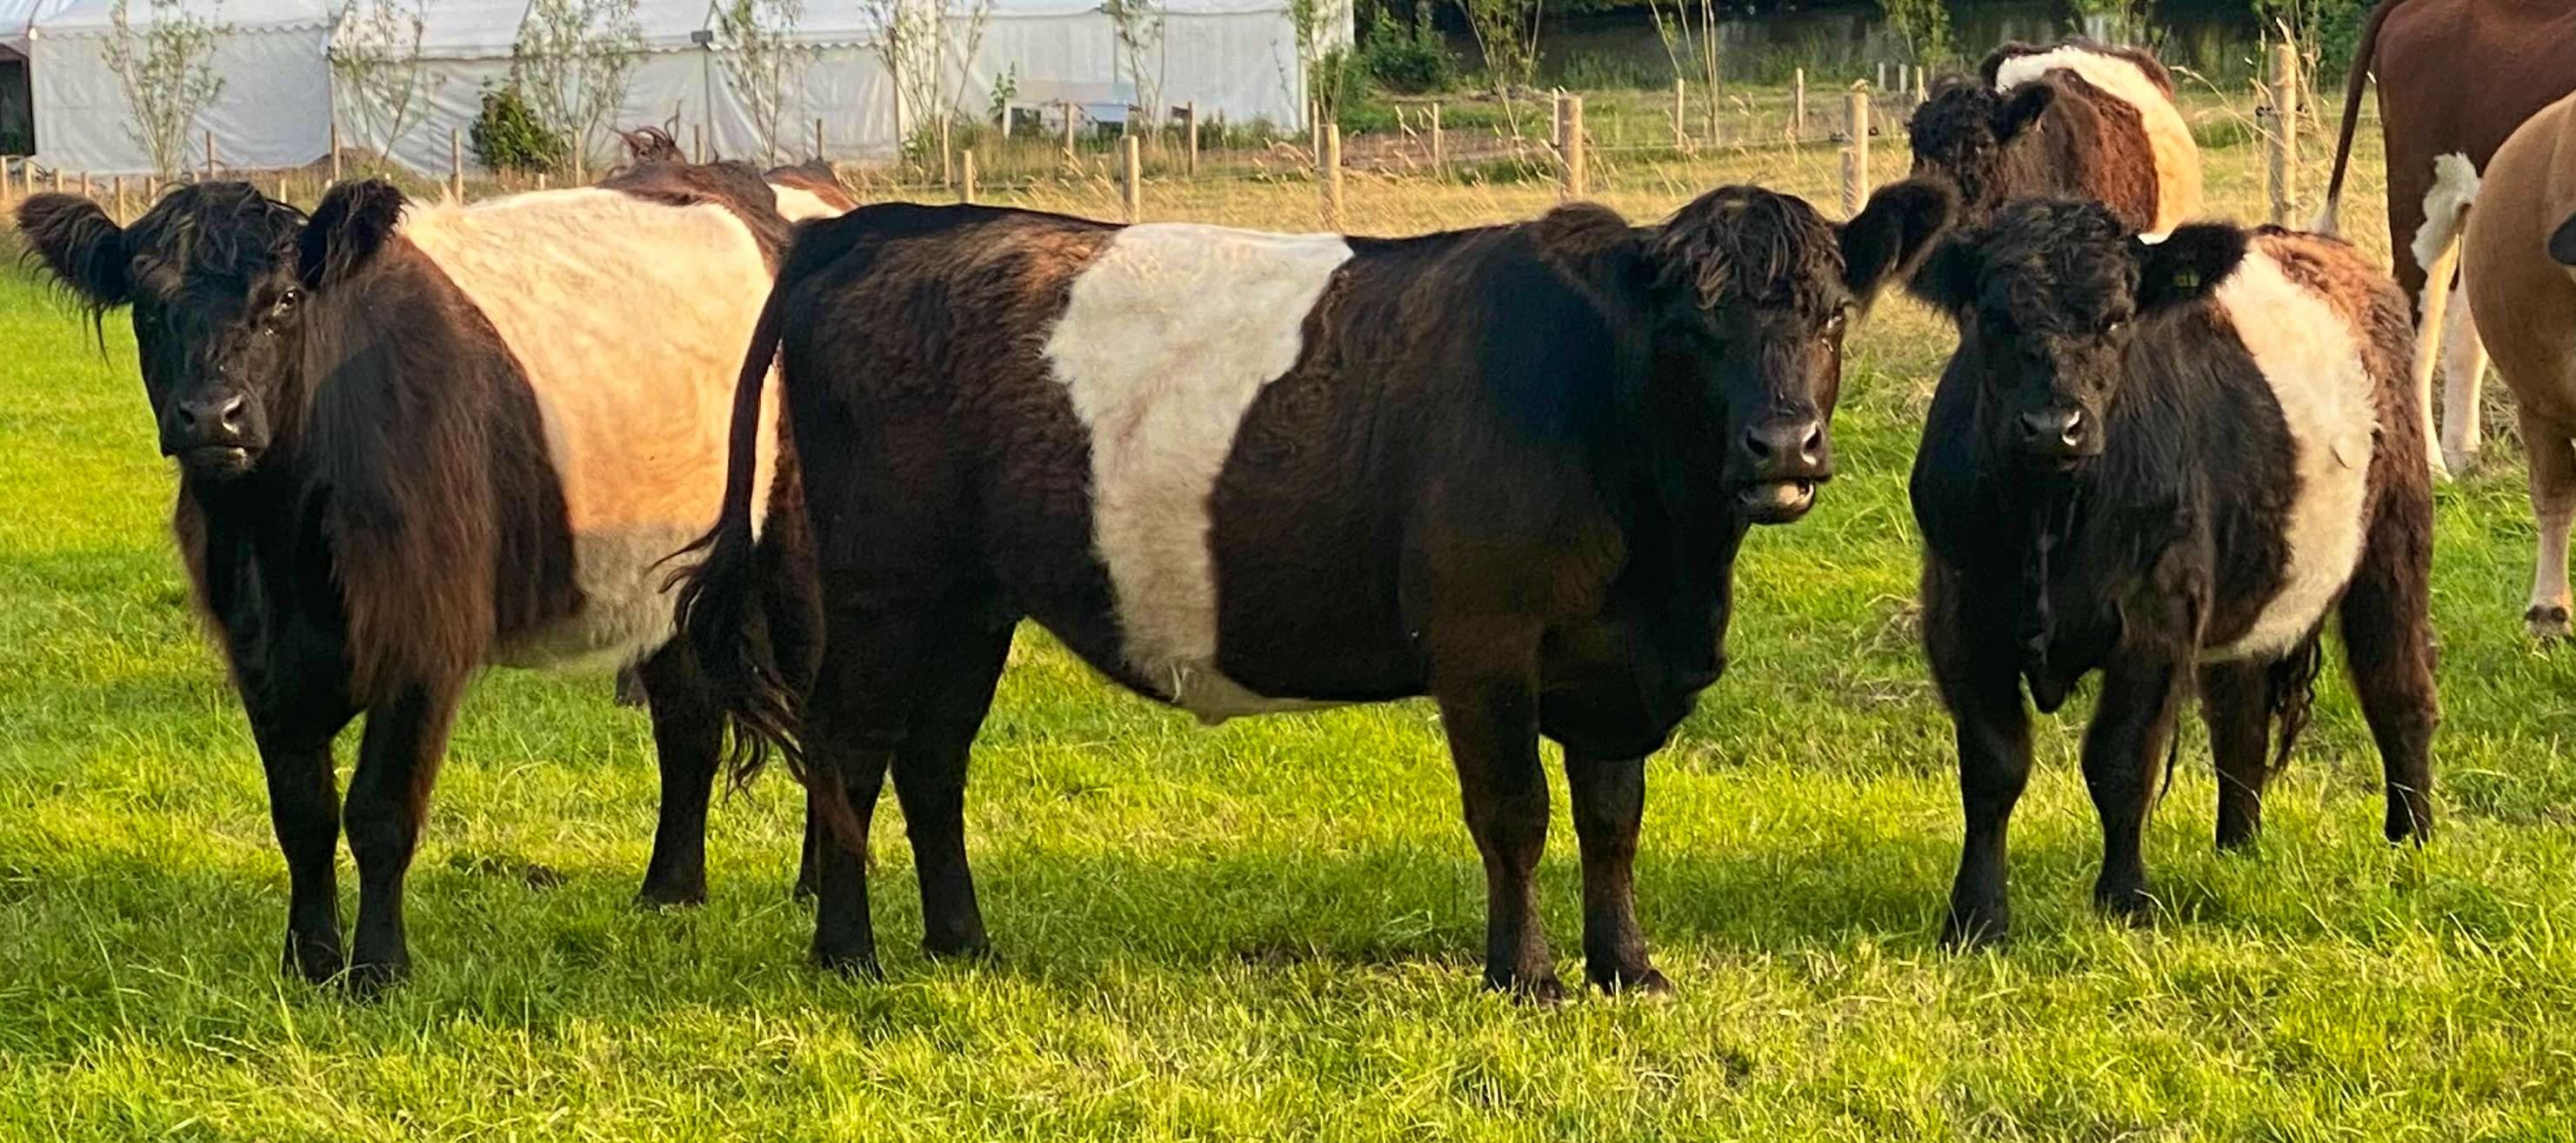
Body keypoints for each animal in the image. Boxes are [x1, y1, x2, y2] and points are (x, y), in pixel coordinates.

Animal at [12, 165, 815, 993]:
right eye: (147, 302)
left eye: (286, 299)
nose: (212, 415)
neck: (280, 534)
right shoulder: (257, 648)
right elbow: (301, 814)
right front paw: (308, 963)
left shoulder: (423, 636)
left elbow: (379, 811)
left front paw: (377, 971)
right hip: (670, 584)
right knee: (688, 721)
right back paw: (669, 892)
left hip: (797, 555)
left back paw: (811, 888)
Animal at [667, 179, 1955, 999]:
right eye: (1693, 322)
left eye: (1831, 315)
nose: (1782, 447)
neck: (1666, 560)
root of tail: (885, 224)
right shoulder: (1483, 643)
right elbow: (1516, 813)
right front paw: (1528, 976)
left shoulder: (1612, 661)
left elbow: (1612, 817)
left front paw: (1628, 968)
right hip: (883, 588)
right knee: (849, 751)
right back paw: (851, 956)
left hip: (973, 604)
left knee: (933, 758)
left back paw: (964, 944)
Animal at [1905, 198, 2436, 947]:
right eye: (1993, 317)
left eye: (2118, 317)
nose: (2053, 425)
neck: (2050, 516)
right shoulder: (1960, 615)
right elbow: (1993, 766)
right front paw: (1976, 919)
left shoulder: (2156, 620)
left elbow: (2120, 761)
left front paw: (2125, 902)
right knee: (2239, 722)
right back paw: (2237, 850)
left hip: (2393, 545)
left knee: (2399, 691)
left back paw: (2411, 843)